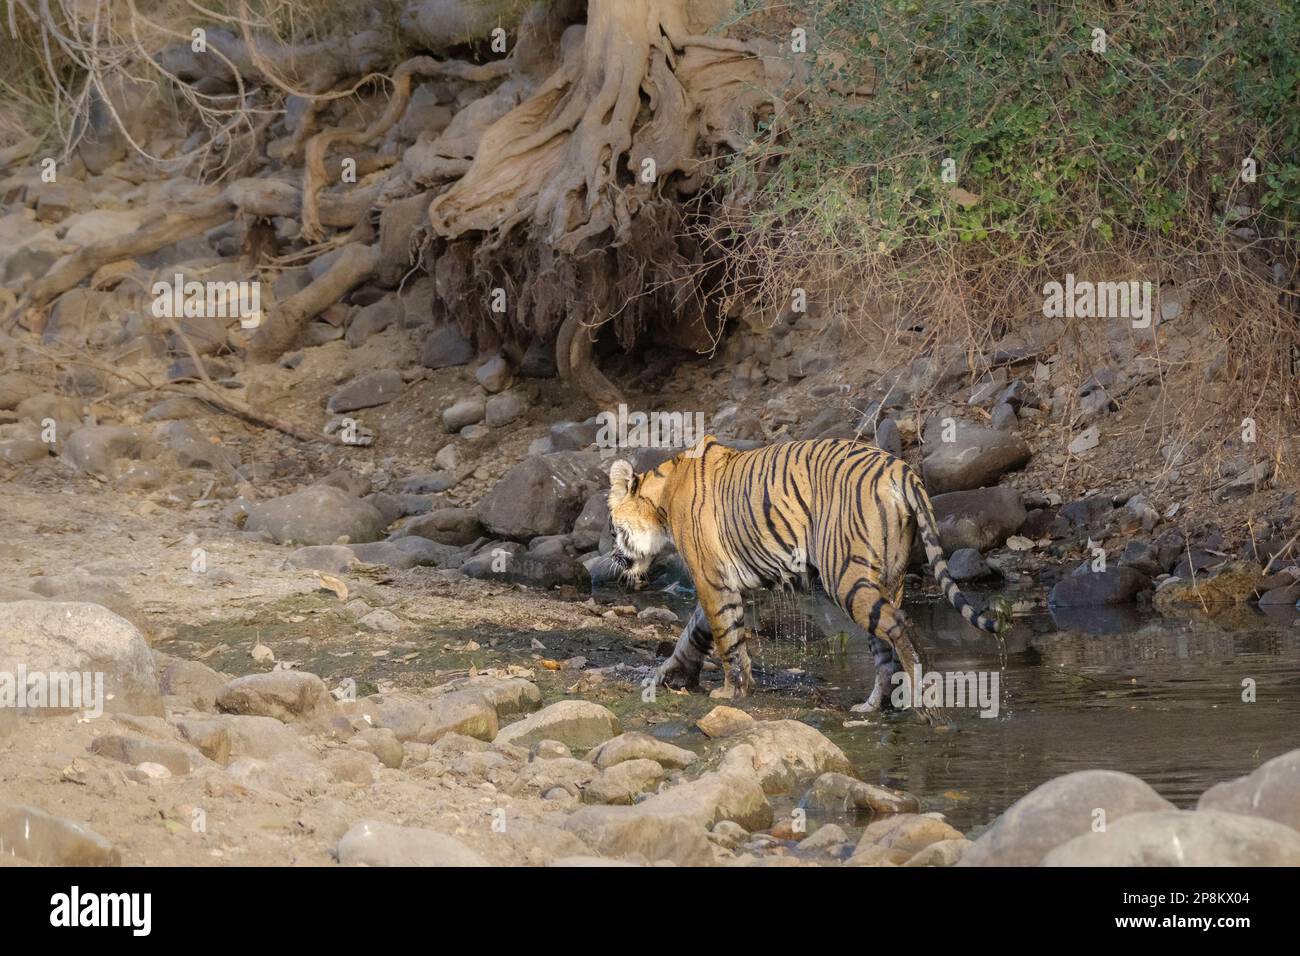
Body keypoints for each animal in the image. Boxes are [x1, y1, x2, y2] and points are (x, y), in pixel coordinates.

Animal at [606, 435, 1002, 717]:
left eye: (613, 529)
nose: (614, 558)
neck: (662, 500)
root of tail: (898, 467)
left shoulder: (711, 579)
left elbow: (725, 637)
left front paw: (731, 691)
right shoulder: (721, 582)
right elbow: (694, 633)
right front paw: (668, 675)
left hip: (845, 575)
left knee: (899, 630)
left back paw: (924, 704)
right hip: (888, 578)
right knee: (884, 647)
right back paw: (872, 706)